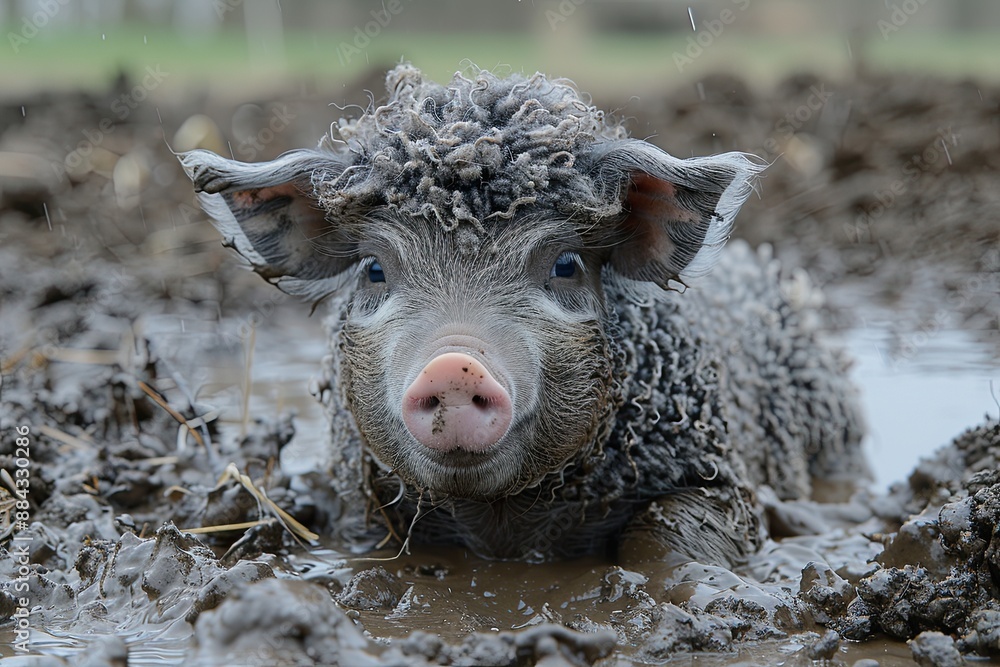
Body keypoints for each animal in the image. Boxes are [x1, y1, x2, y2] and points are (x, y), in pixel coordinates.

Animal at [180, 64, 866, 566]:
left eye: (564, 264)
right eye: (374, 269)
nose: (455, 366)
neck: (503, 525)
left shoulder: (721, 479)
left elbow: (669, 535)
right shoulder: (358, 506)